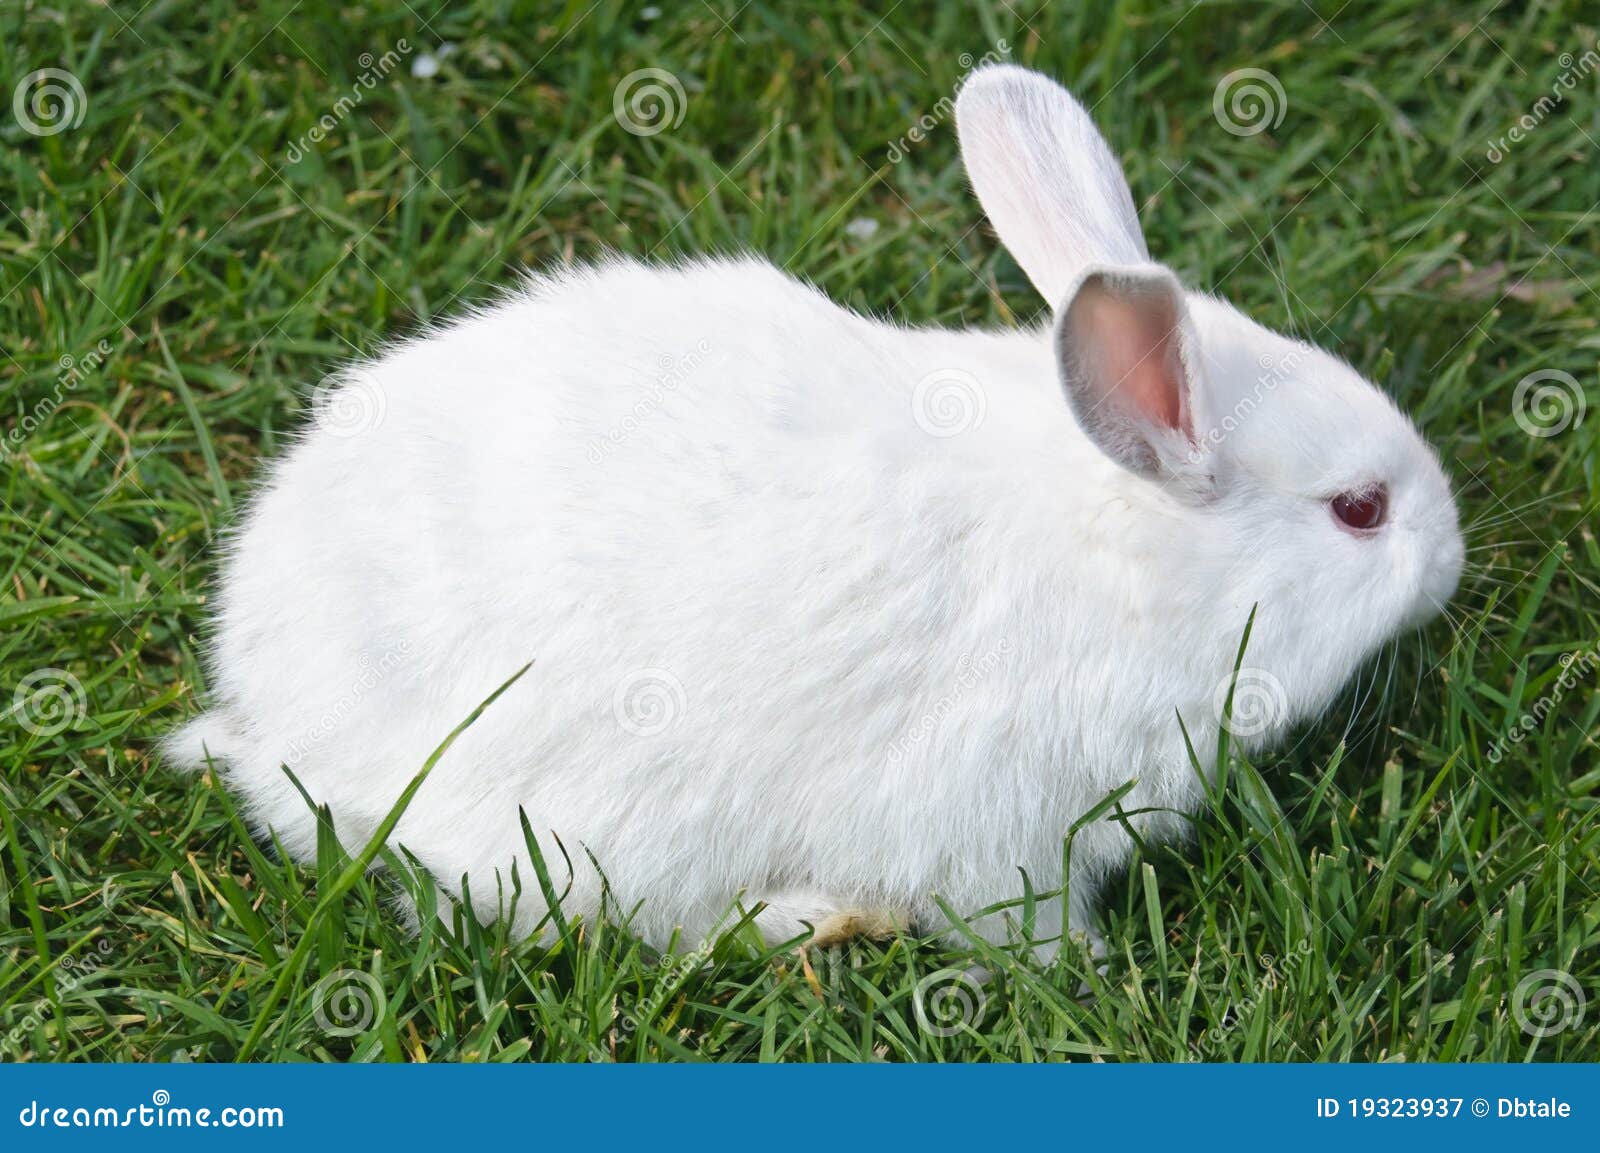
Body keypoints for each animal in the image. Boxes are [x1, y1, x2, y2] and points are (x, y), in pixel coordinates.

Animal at [167, 64, 1463, 958]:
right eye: (1358, 509)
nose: (1451, 558)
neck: (1136, 563)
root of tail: (260, 704)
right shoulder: (1000, 828)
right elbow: (1023, 925)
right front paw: (1094, 972)